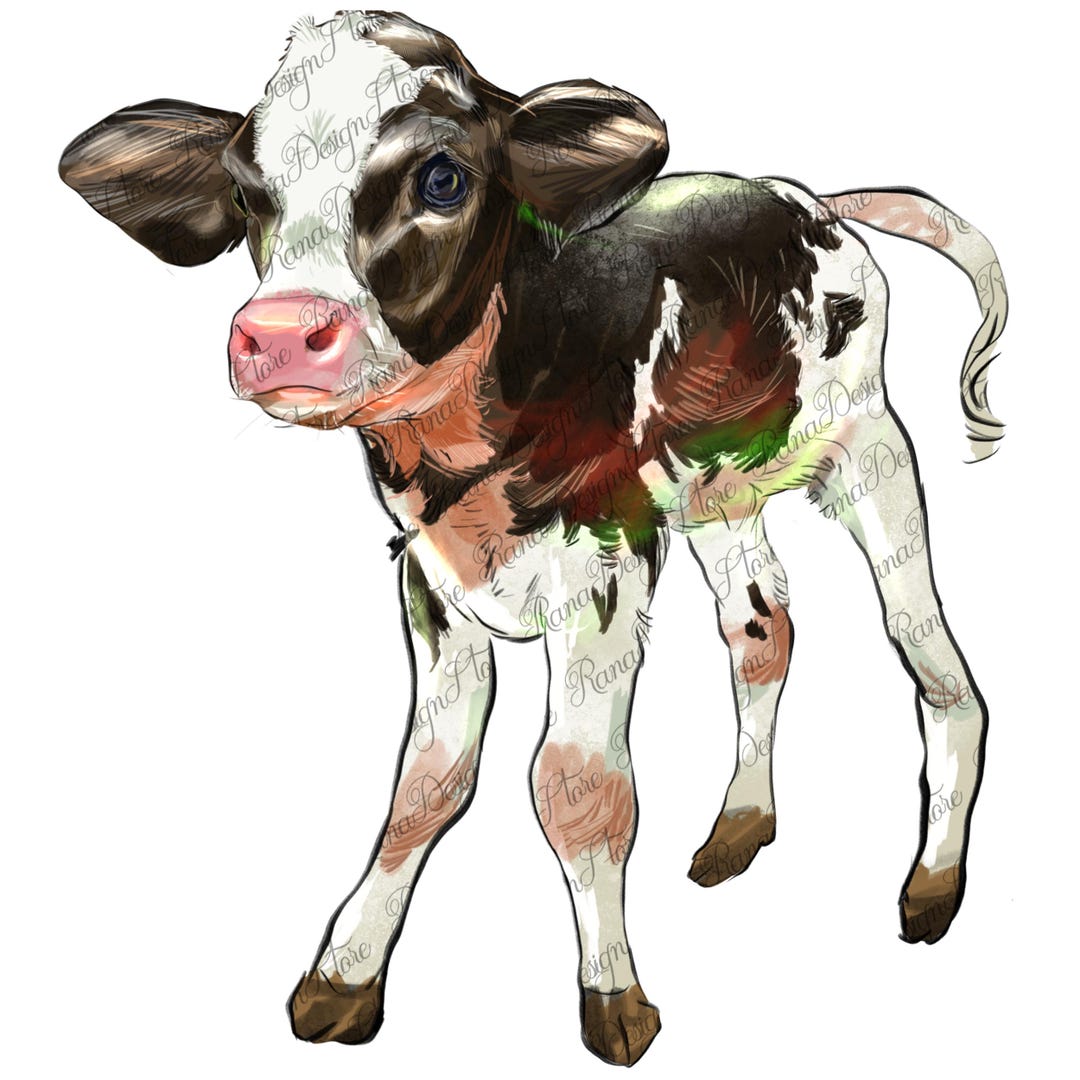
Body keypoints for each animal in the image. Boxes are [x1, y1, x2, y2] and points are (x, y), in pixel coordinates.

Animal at [59, 9, 1007, 1066]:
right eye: (244, 190)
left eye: (441, 178)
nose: (280, 333)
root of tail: (800, 193)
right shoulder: (432, 584)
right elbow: (425, 786)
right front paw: (344, 976)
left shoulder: (604, 567)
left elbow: (576, 789)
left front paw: (615, 1001)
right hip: (717, 491)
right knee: (762, 627)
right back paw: (740, 824)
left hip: (866, 443)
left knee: (931, 657)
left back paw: (933, 883)